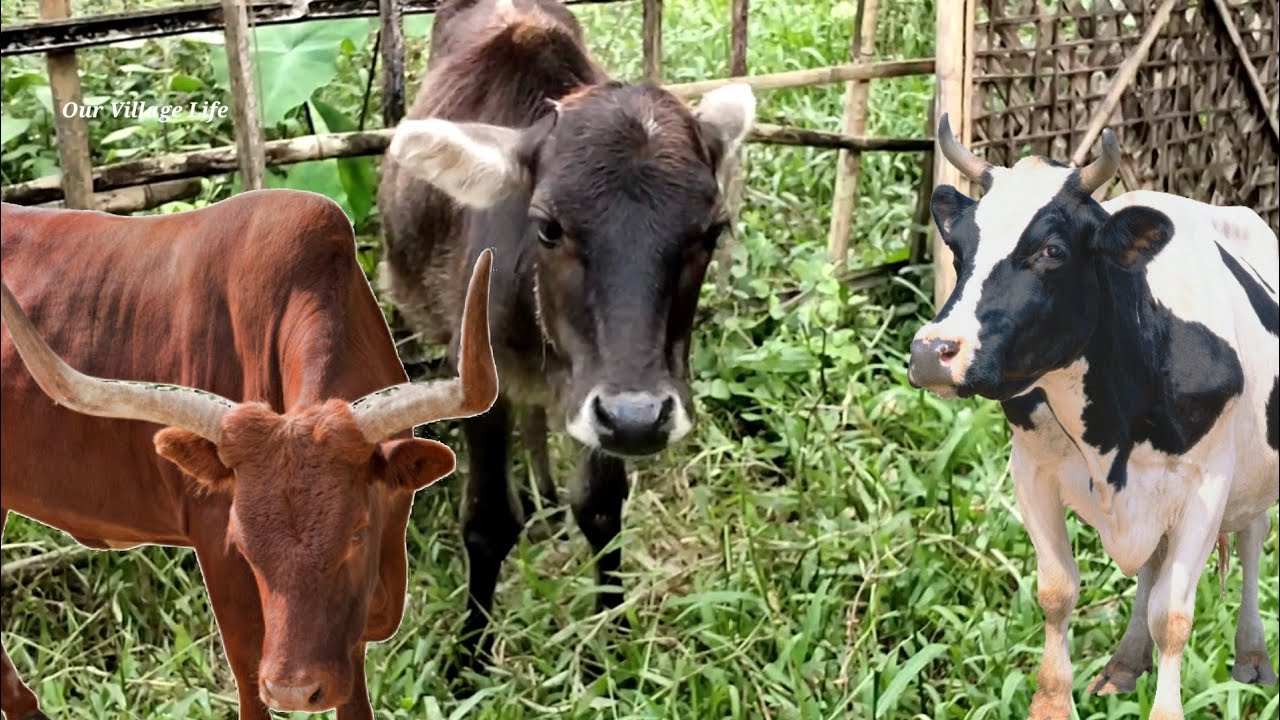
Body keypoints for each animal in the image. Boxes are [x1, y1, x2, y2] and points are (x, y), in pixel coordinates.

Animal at [375, 0, 757, 668]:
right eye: (549, 227)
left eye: (712, 231)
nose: (639, 419)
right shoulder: (482, 379)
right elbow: (488, 522)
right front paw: (470, 659)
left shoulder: (599, 397)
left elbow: (601, 511)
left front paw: (619, 651)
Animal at [907, 115, 1279, 720]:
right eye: (959, 249)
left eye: (1052, 250)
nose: (930, 352)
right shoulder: (1031, 468)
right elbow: (1058, 591)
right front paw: (1052, 703)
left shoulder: (1208, 482)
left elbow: (1173, 616)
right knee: (1153, 561)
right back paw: (1126, 663)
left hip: (1255, 475)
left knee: (1251, 539)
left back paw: (1251, 658)